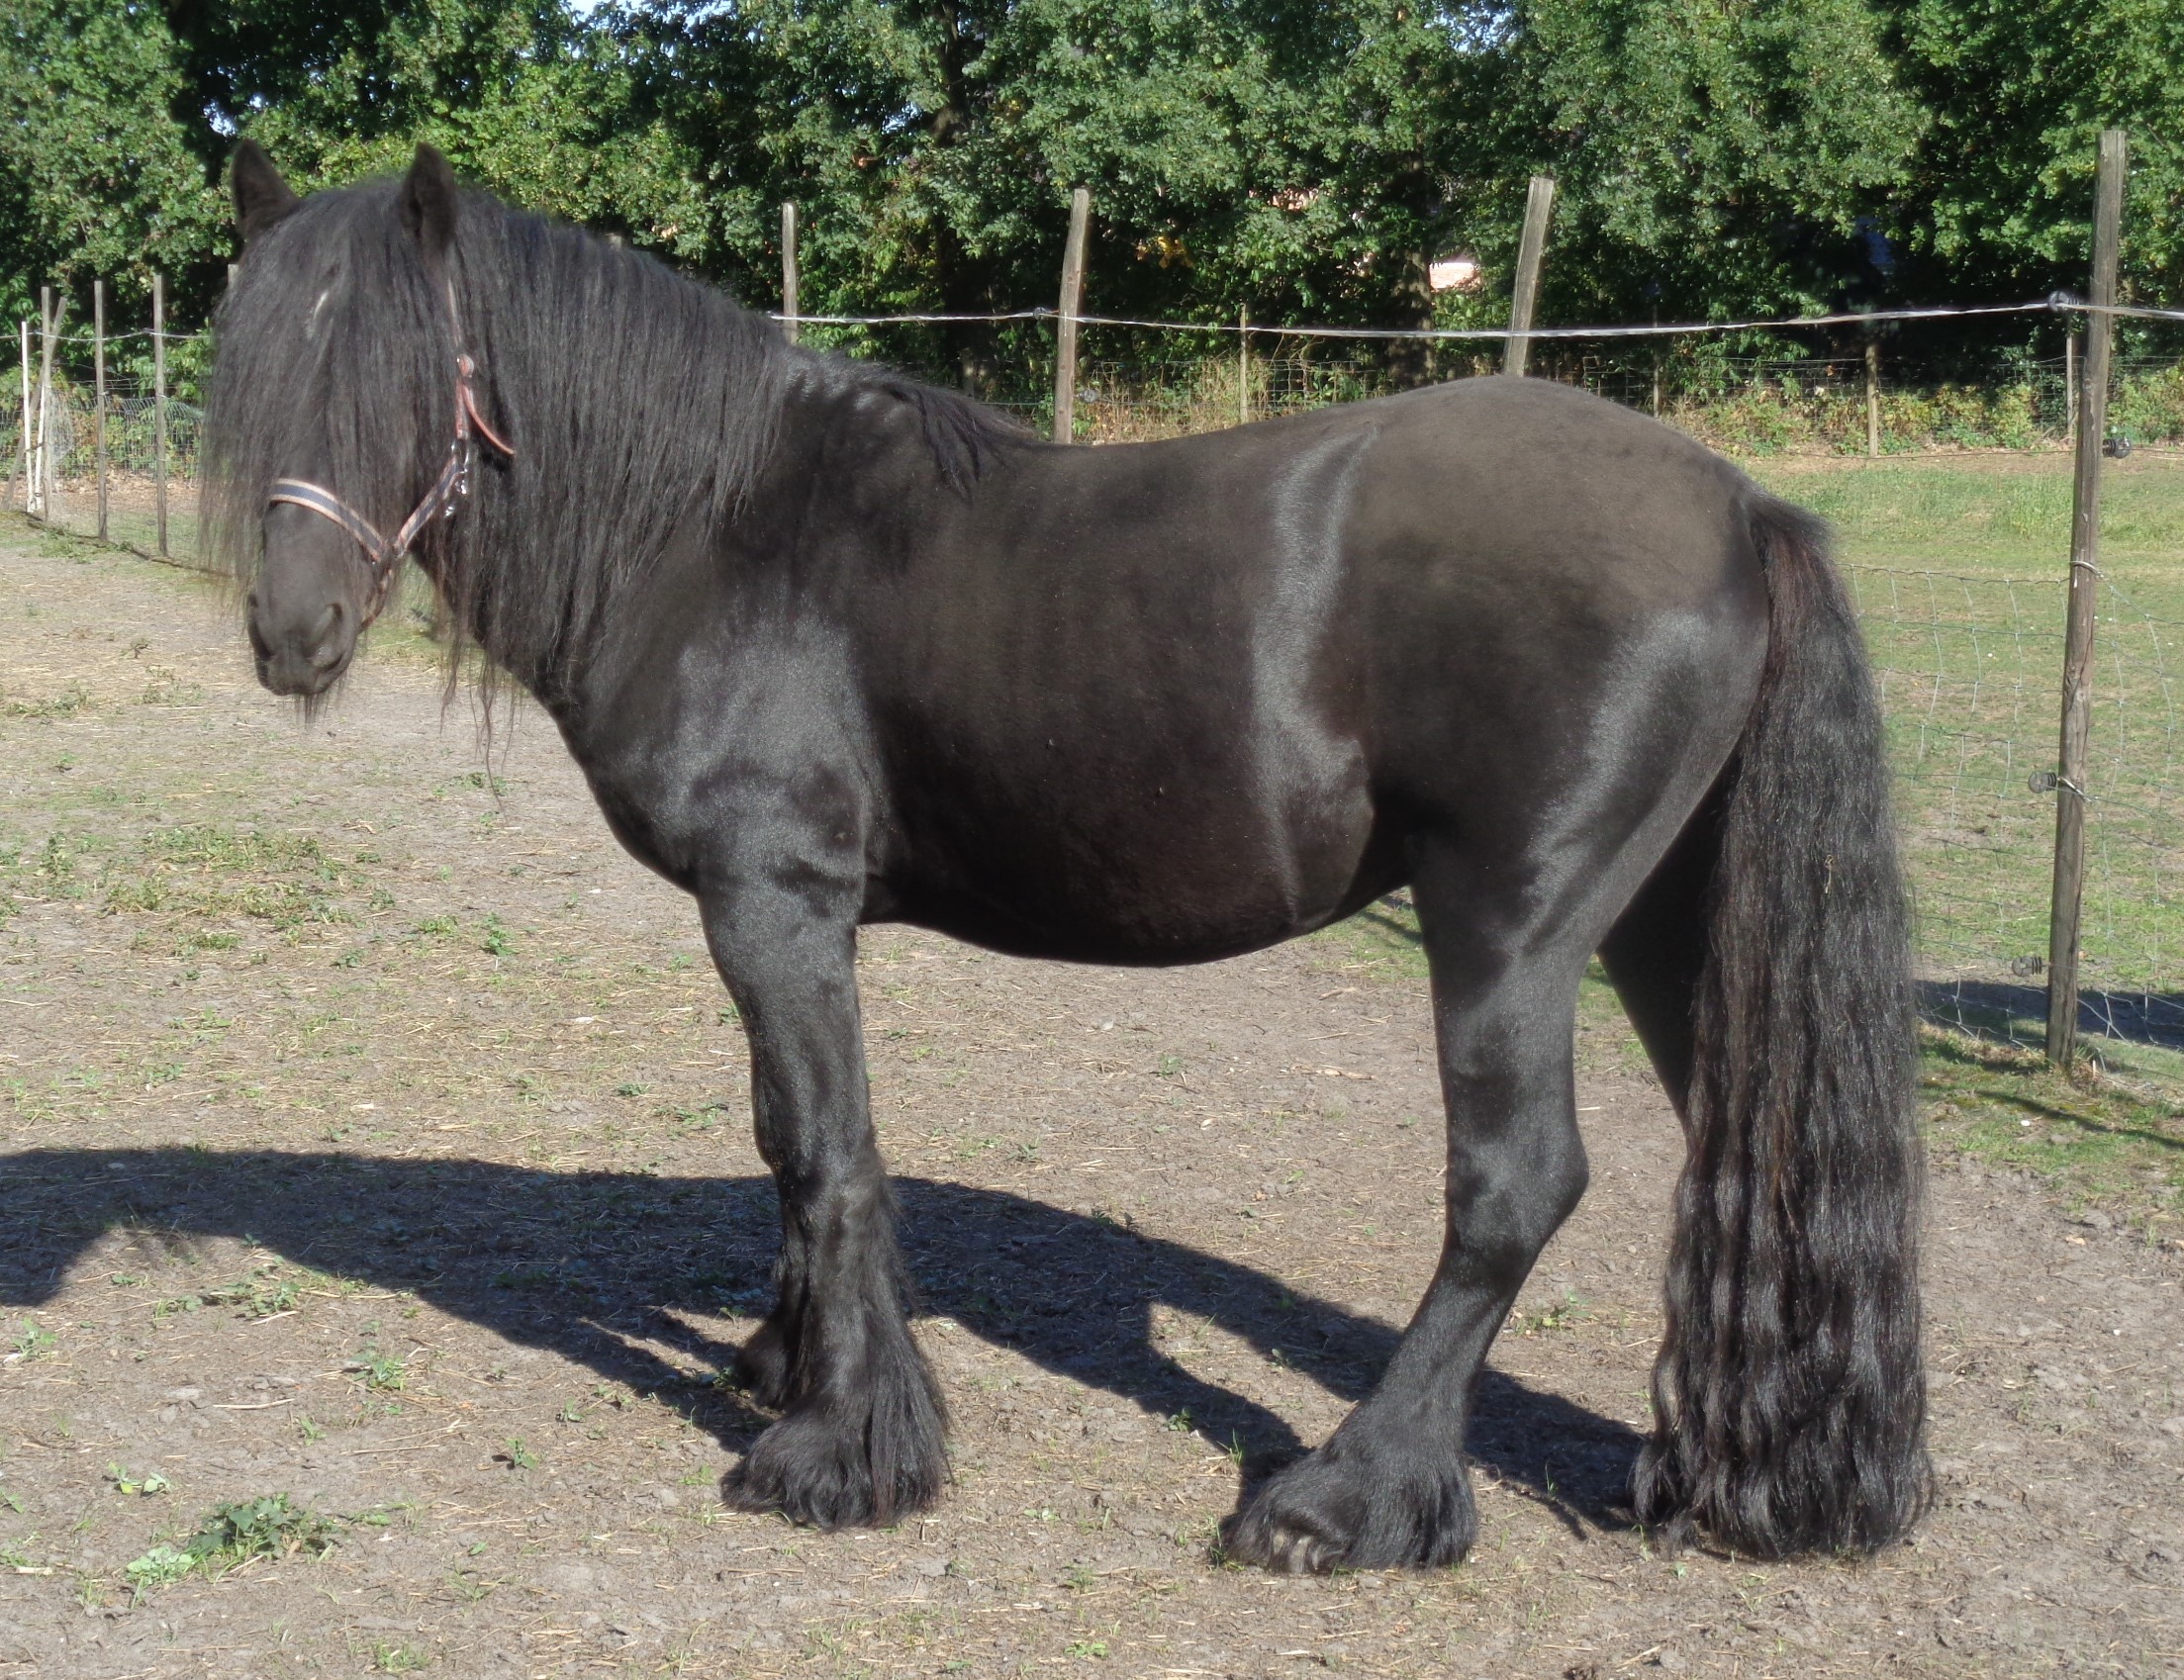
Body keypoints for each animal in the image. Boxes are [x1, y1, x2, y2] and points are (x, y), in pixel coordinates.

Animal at [206, 140, 1929, 1573]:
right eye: (258, 370)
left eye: (402, 376)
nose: (290, 634)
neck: (719, 530)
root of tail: (1739, 506)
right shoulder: (777, 919)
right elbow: (783, 1138)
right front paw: (782, 1357)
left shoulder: (774, 902)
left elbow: (825, 1150)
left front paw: (837, 1448)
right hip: (1665, 926)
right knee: (1748, 1152)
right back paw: (1741, 1477)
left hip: (1508, 922)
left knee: (1514, 1188)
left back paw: (1344, 1499)